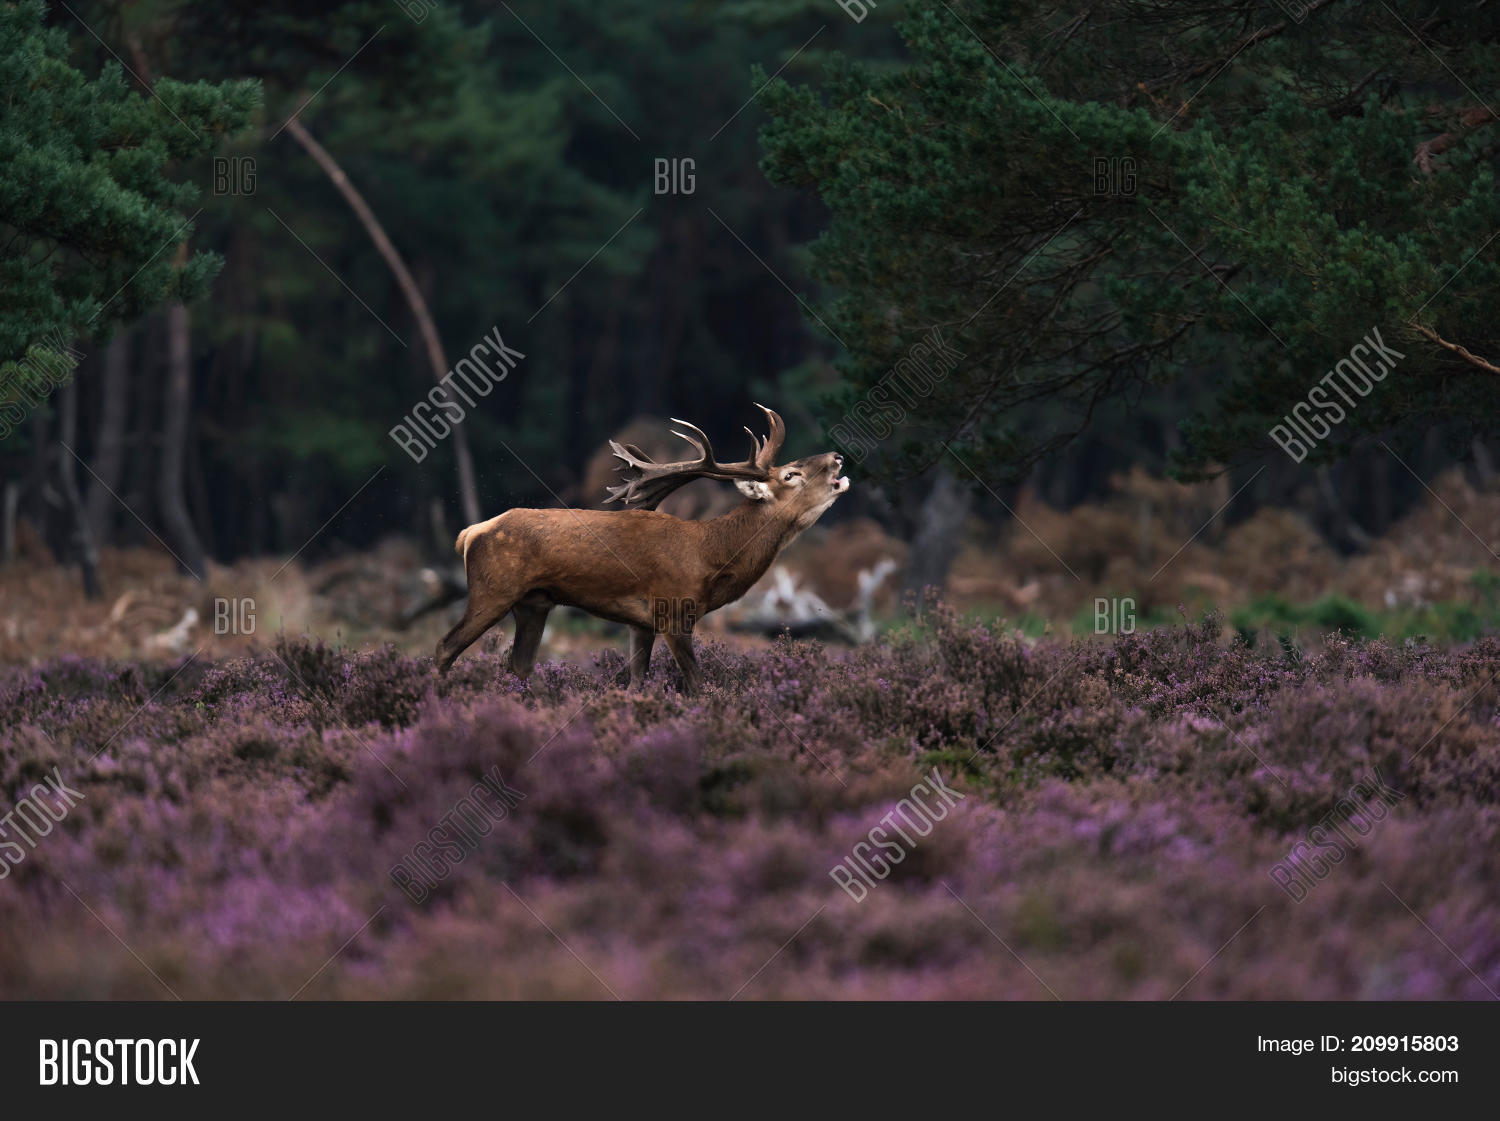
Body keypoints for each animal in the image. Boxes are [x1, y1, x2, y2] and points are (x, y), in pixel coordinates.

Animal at [435, 406, 850, 692]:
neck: (710, 558)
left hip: (533, 604)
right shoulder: (673, 610)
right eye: (790, 475)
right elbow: (698, 685)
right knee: (445, 647)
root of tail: (470, 533)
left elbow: (637, 682)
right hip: (493, 590)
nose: (836, 456)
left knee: (518, 666)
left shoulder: (641, 622)